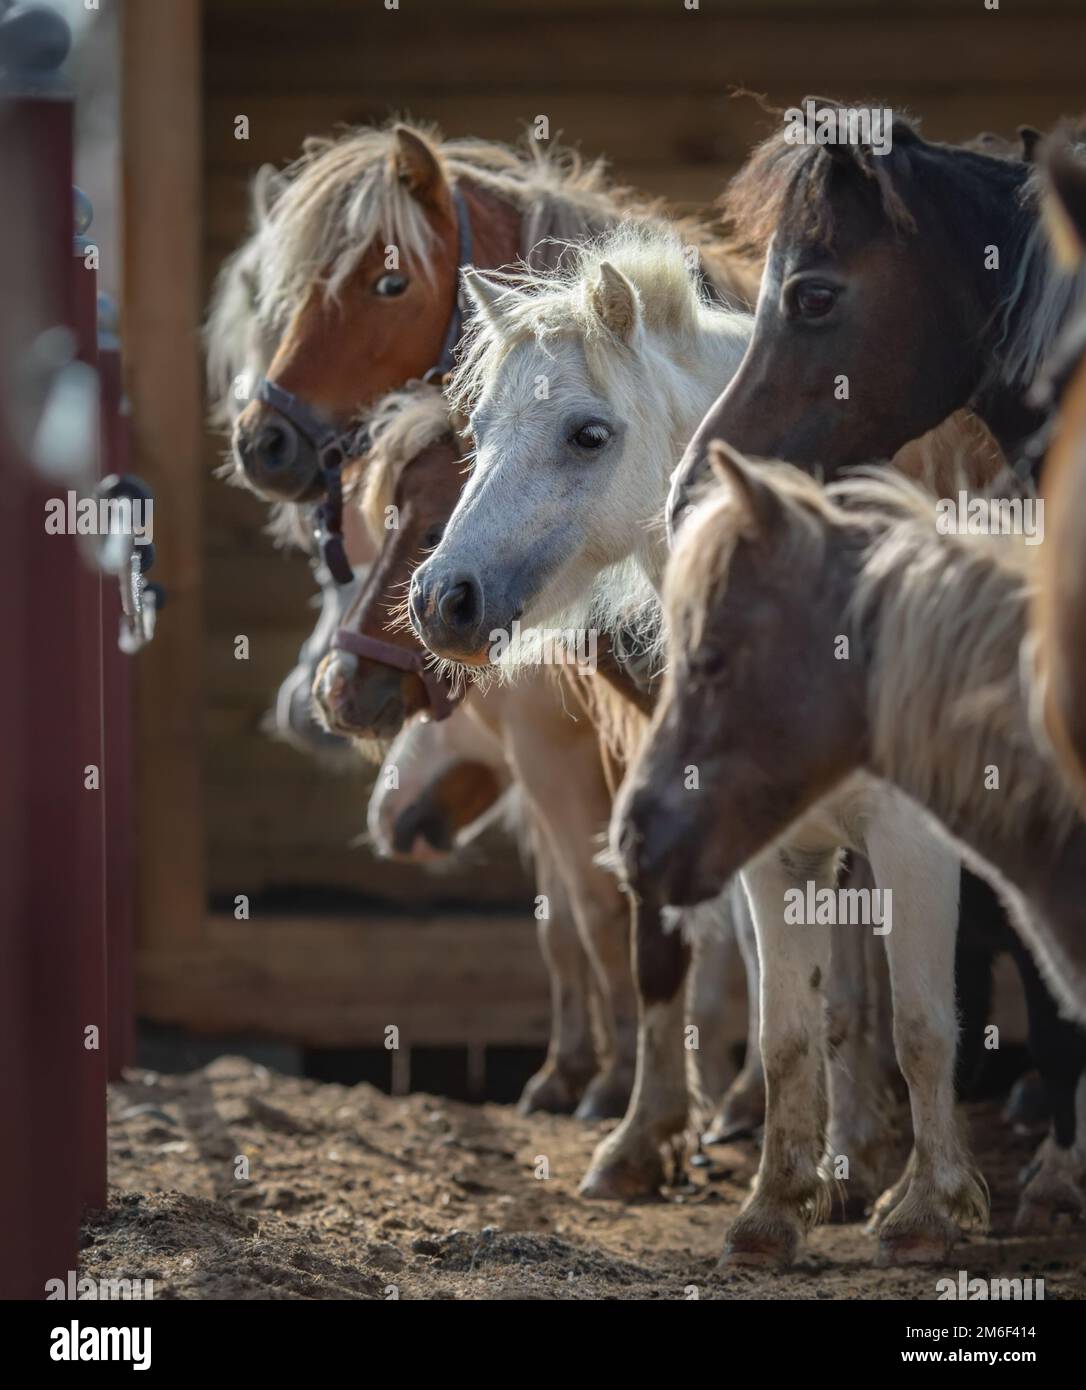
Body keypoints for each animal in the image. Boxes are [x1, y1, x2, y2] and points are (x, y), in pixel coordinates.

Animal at [617, 447, 1086, 1244]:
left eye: (711, 658)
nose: (634, 841)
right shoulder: (785, 860)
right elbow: (790, 1035)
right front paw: (776, 1207)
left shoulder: (912, 848)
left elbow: (922, 1028)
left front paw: (929, 1209)